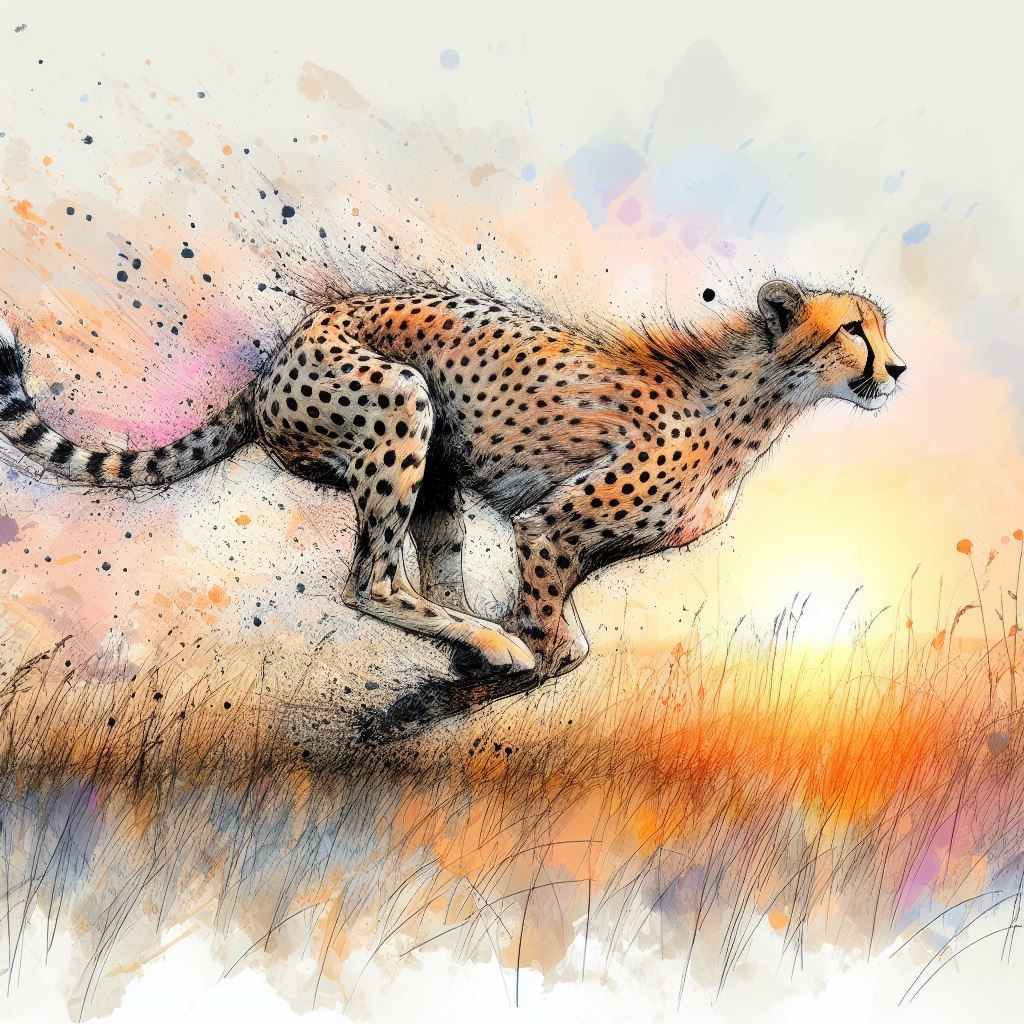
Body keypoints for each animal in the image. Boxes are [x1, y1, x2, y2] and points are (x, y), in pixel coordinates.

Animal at [0, 278, 905, 684]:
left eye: (882, 326)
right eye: (852, 329)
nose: (897, 368)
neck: (753, 400)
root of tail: (280, 353)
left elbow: (562, 608)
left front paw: (518, 636)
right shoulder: (553, 522)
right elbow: (557, 625)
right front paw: (533, 644)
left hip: (435, 456)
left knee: (430, 569)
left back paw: (470, 636)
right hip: (401, 398)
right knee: (369, 578)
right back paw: (490, 643)